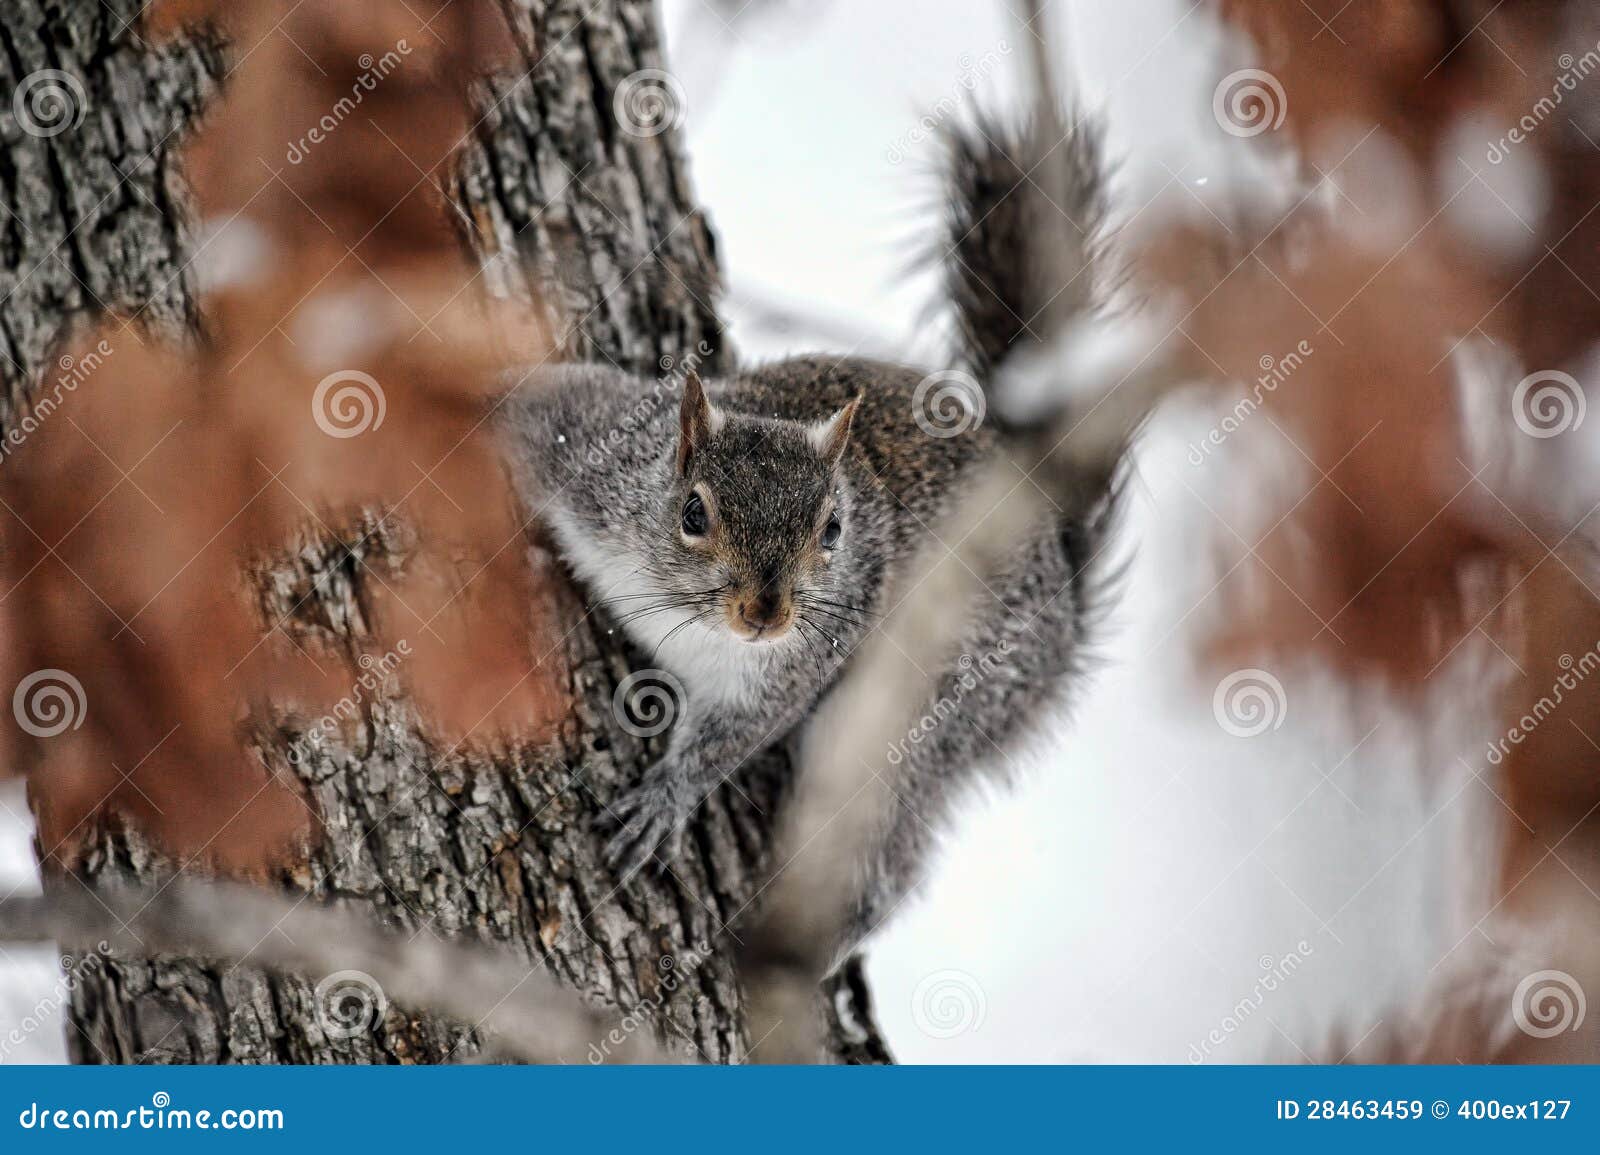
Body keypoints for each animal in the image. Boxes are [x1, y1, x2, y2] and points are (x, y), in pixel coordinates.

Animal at [500, 113, 1116, 946]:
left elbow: (731, 736)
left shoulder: (789, 671)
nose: (767, 614)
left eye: (834, 530)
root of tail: (1064, 604)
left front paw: (665, 801)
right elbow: (537, 403)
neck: (680, 611)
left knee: (890, 853)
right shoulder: (594, 457)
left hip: (927, 710)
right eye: (693, 513)